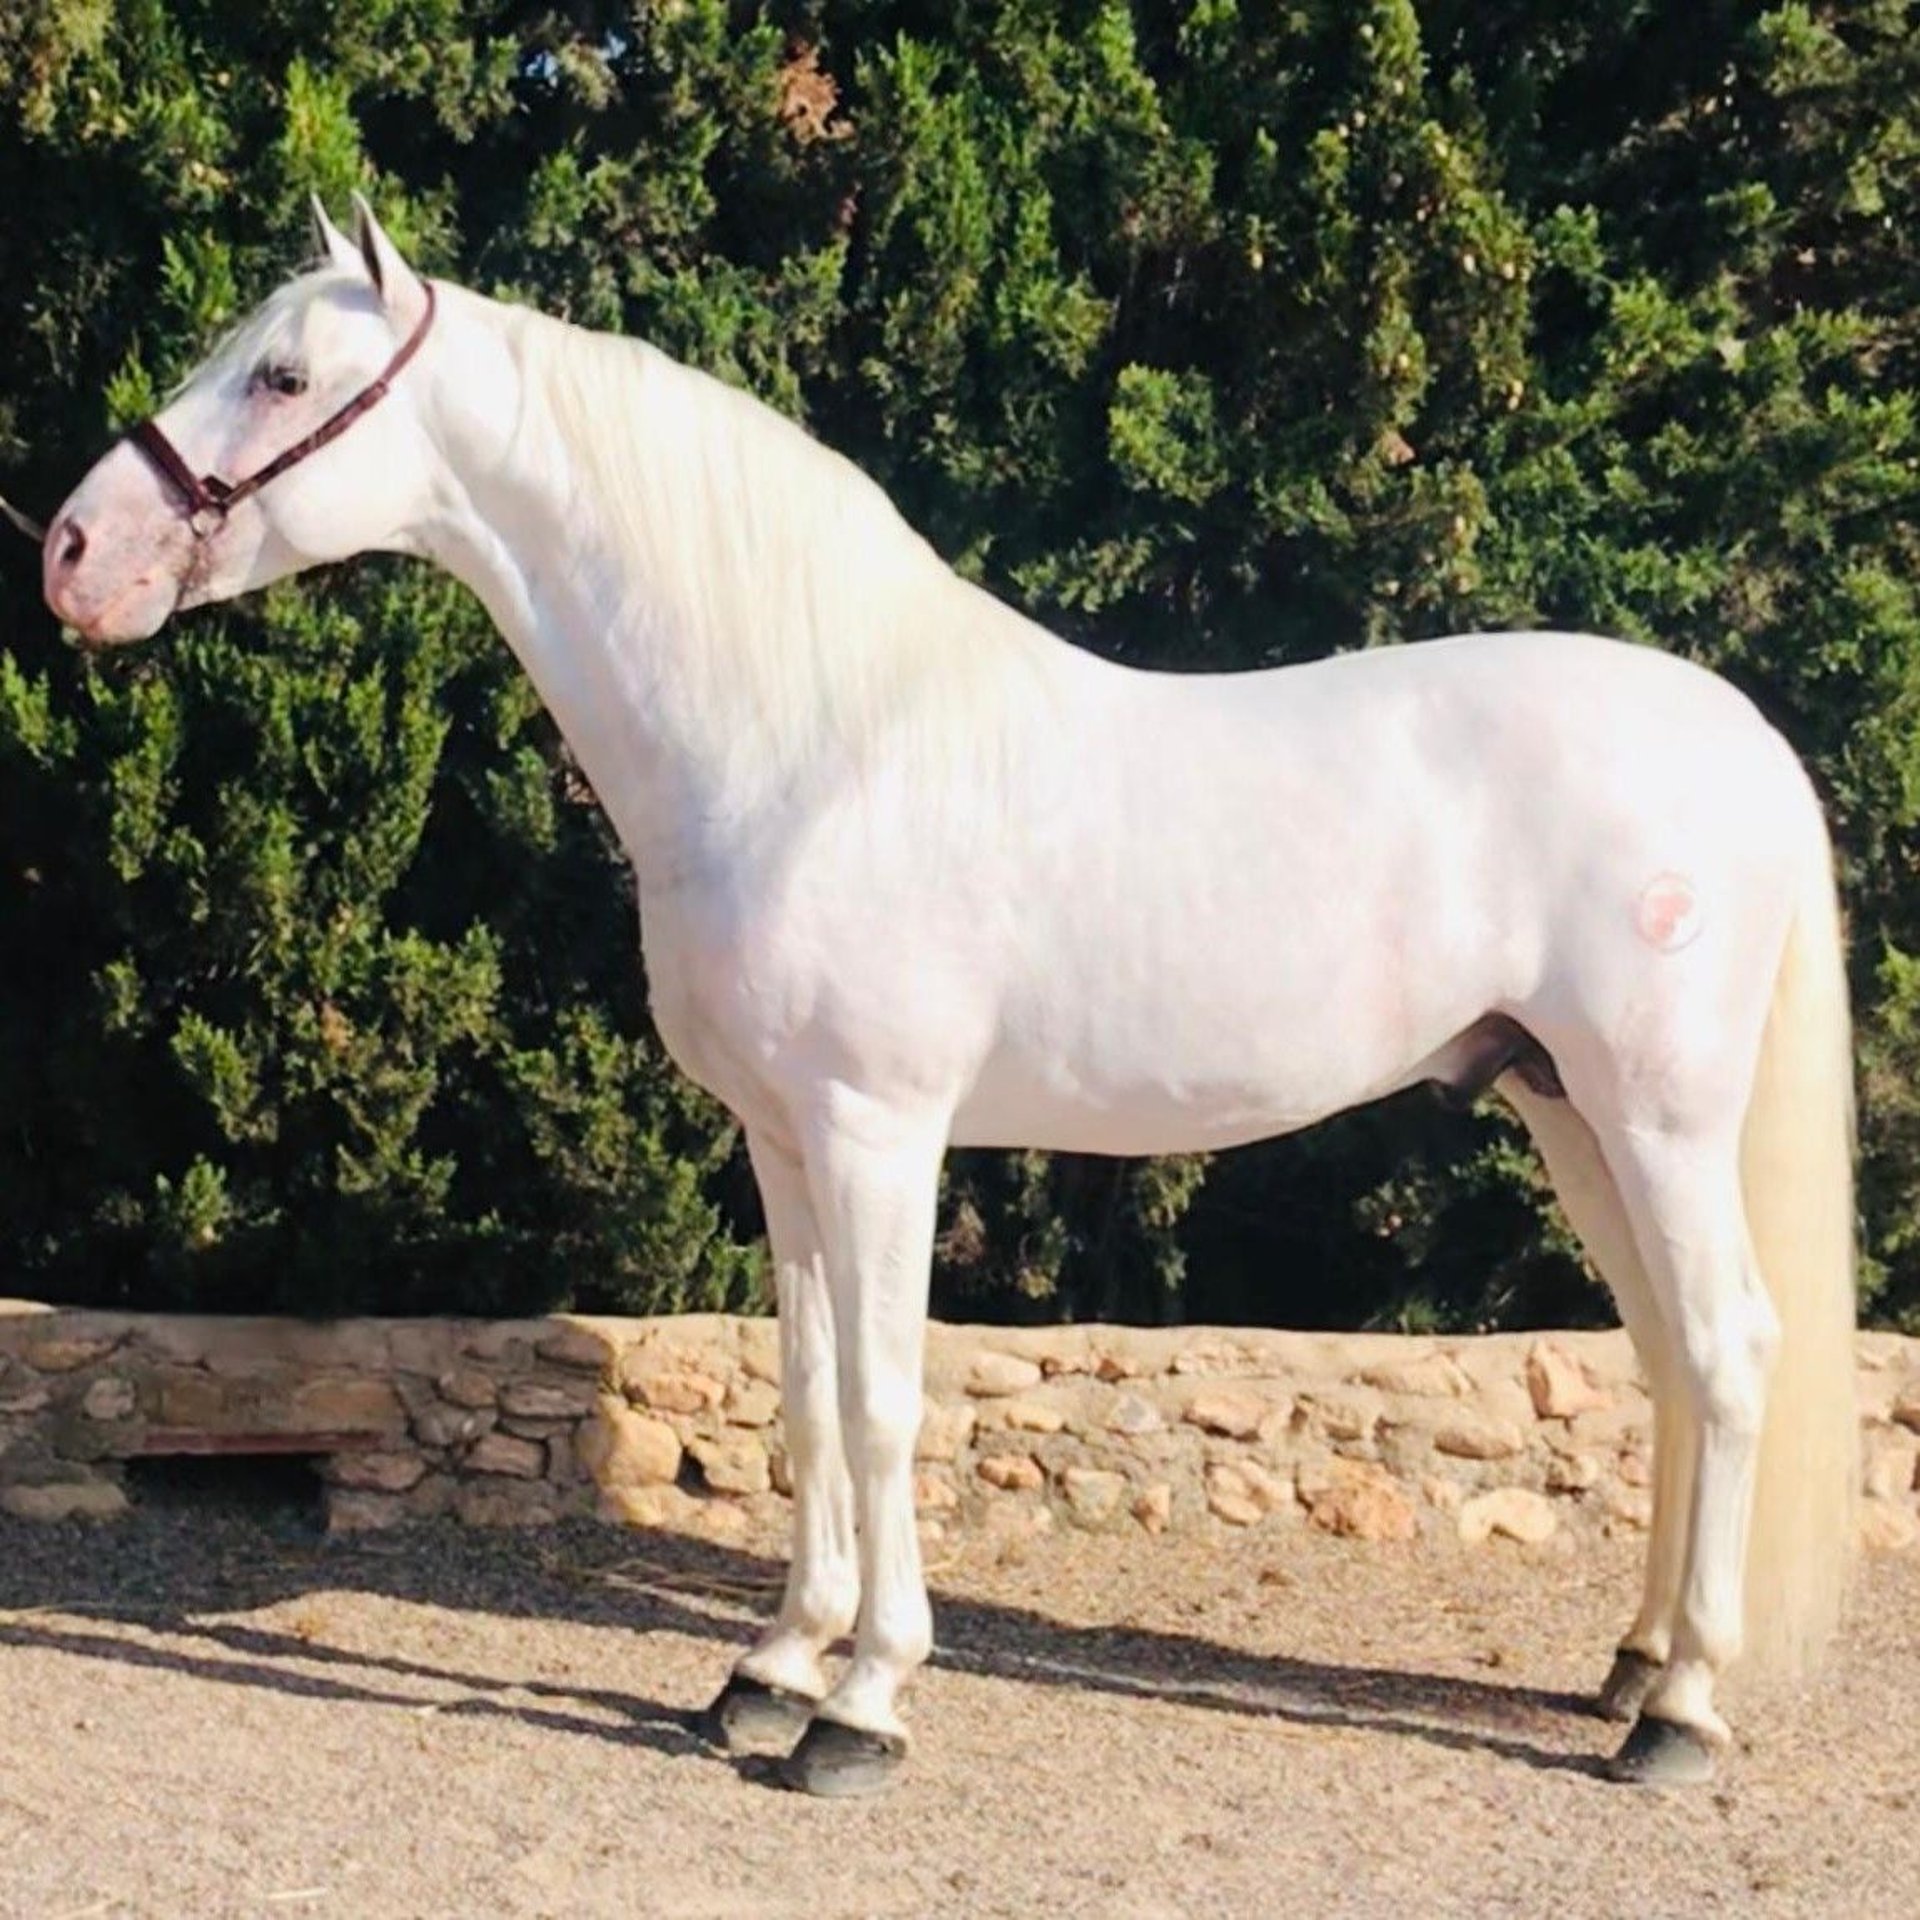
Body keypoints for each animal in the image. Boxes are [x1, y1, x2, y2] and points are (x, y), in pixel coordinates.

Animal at [41, 197, 1856, 1797]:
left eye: (283, 378)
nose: (71, 551)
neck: (807, 740)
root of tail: (1744, 739)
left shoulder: (879, 1130)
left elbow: (884, 1397)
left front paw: (860, 1709)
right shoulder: (782, 1142)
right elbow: (803, 1396)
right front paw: (769, 1673)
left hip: (1660, 1115)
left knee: (1731, 1346)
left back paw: (1679, 1717)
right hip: (1568, 1113)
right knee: (1671, 1362)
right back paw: (1631, 1666)